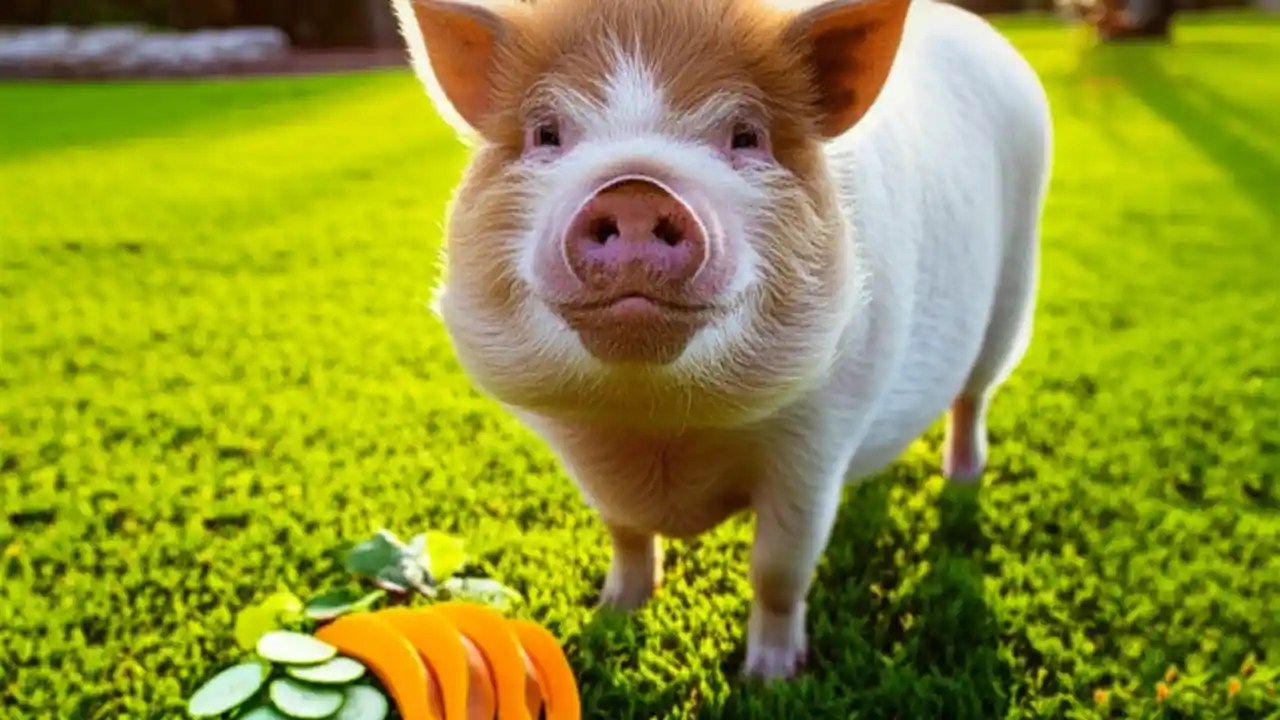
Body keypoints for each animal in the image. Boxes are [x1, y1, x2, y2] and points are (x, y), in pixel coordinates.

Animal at [391, 0, 1051, 681]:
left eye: (746, 136)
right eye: (546, 133)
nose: (634, 190)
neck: (656, 420)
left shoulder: (814, 446)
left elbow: (779, 569)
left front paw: (769, 679)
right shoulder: (587, 457)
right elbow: (624, 532)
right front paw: (611, 616)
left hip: (1013, 295)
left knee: (973, 397)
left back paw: (964, 480)